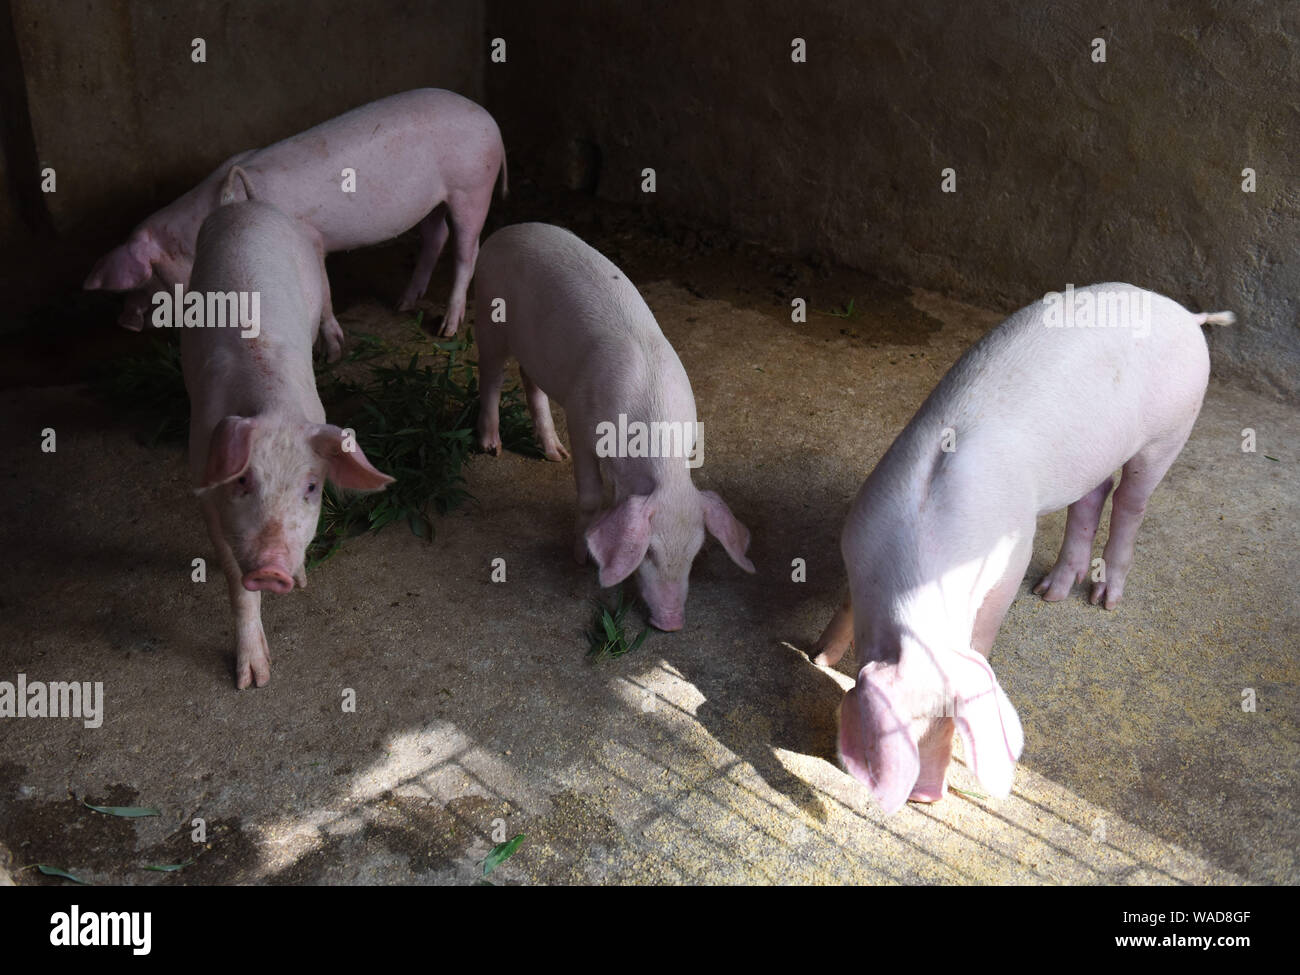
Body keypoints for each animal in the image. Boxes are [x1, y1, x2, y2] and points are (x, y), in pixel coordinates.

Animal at [85, 88, 506, 346]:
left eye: (148, 276)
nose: (123, 323)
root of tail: (490, 118)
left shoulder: (310, 239)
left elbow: (323, 292)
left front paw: (331, 346)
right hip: (433, 200)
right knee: (435, 237)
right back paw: (404, 303)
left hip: (472, 187)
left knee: (467, 252)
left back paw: (447, 329)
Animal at [183, 187, 393, 688]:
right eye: (242, 480)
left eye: (312, 487)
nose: (272, 570)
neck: (273, 409)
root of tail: (244, 204)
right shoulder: (205, 485)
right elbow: (235, 581)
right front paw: (254, 681)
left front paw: (302, 581)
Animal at [473, 223, 756, 630]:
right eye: (649, 552)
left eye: (695, 552)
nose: (672, 622)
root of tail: (506, 231)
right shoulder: (580, 419)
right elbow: (591, 495)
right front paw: (579, 560)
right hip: (488, 313)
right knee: (491, 374)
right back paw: (491, 446)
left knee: (529, 379)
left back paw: (554, 455)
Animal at [811, 283, 1234, 813]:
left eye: (953, 730)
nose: (927, 797)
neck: (918, 578)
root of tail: (1187, 315)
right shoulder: (861, 530)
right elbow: (845, 606)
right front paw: (820, 659)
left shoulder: (1010, 561)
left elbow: (987, 631)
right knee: (1094, 495)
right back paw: (1052, 593)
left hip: (1170, 432)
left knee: (1131, 502)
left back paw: (1104, 601)